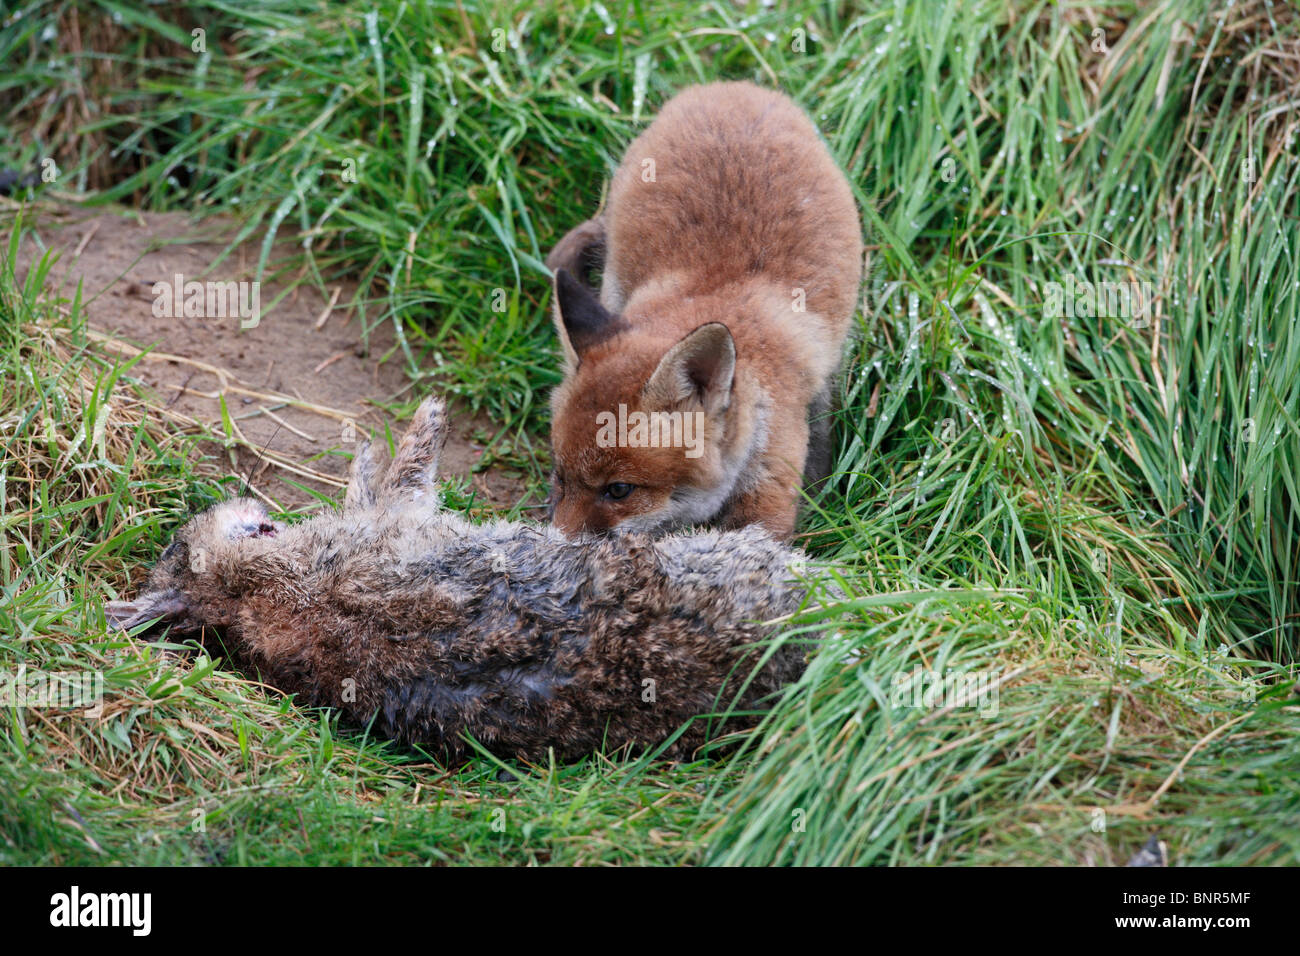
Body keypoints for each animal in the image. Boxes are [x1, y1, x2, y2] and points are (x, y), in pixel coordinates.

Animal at [107, 396, 822, 763]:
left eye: (174, 543)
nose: (237, 504)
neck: (245, 592)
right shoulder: (391, 522)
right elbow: (402, 475)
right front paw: (424, 419)